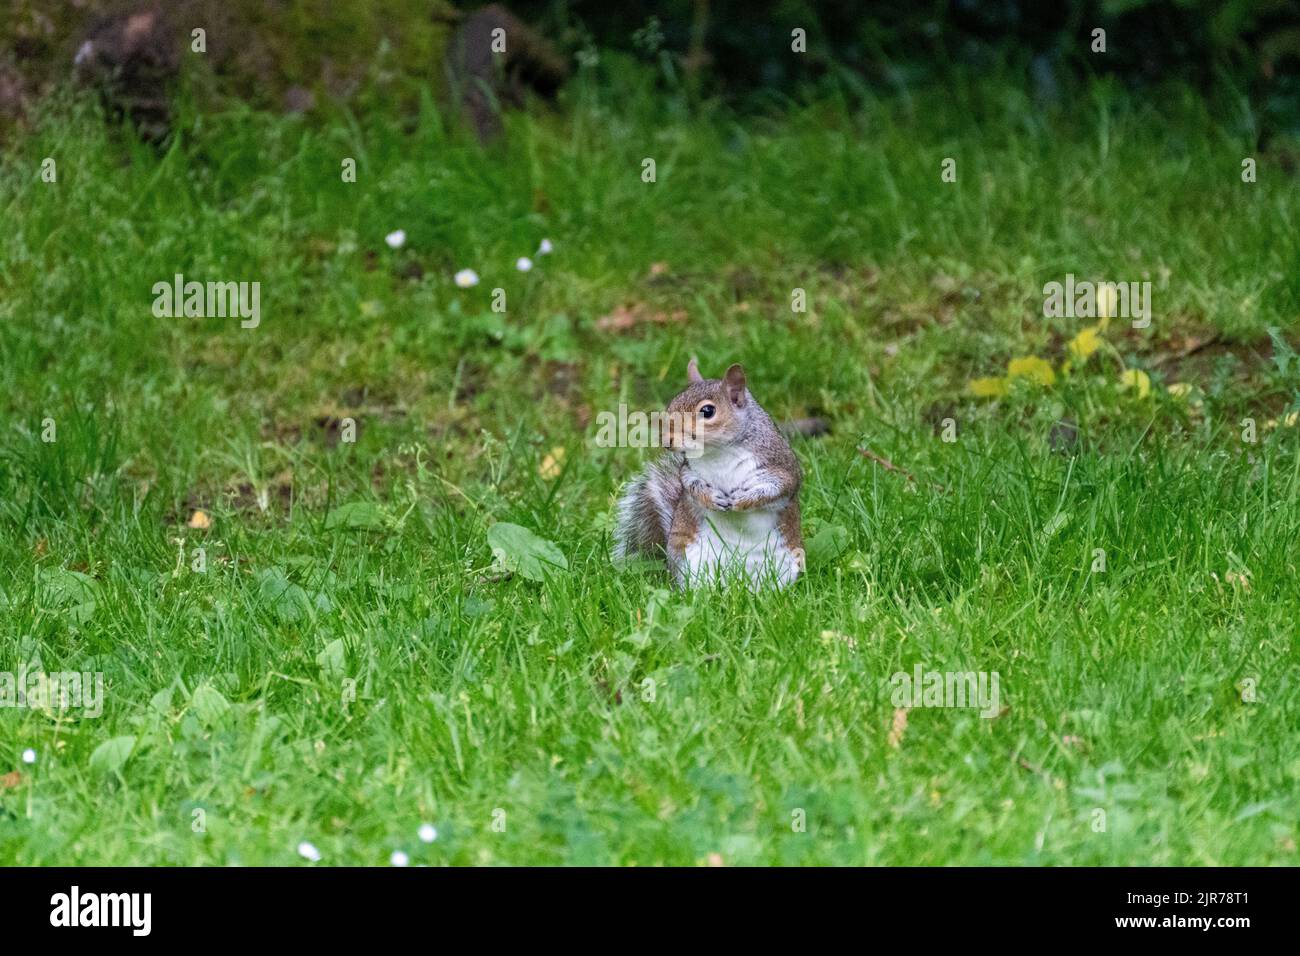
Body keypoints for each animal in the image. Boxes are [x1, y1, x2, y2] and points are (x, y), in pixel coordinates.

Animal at [613, 358, 804, 589]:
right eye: (671, 405)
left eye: (707, 411)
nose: (667, 441)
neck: (718, 453)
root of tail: (738, 583)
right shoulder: (689, 470)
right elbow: (692, 486)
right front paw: (712, 498)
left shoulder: (780, 467)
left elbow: (776, 488)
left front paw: (743, 500)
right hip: (691, 563)